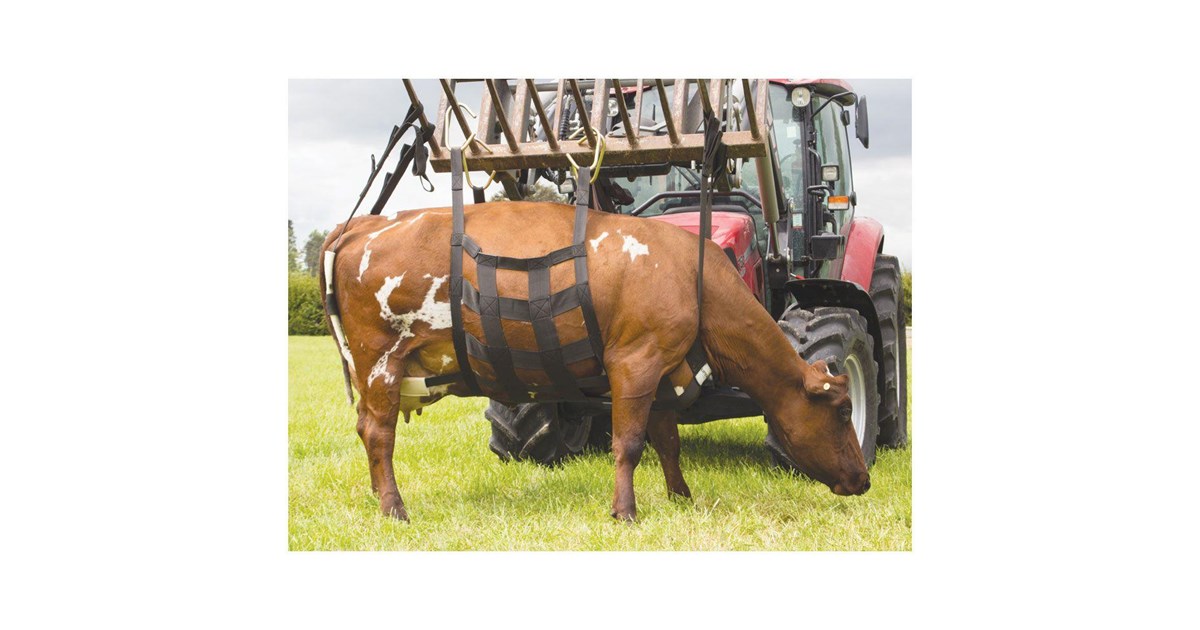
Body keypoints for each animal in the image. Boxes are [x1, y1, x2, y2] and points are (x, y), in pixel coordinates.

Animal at [319, 200, 869, 522]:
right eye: (843, 412)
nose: (865, 480)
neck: (697, 277)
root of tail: (363, 223)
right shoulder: (635, 360)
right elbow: (628, 444)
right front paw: (625, 511)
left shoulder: (664, 371)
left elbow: (667, 441)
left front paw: (681, 496)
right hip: (381, 358)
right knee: (377, 433)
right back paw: (393, 507)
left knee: (367, 428)